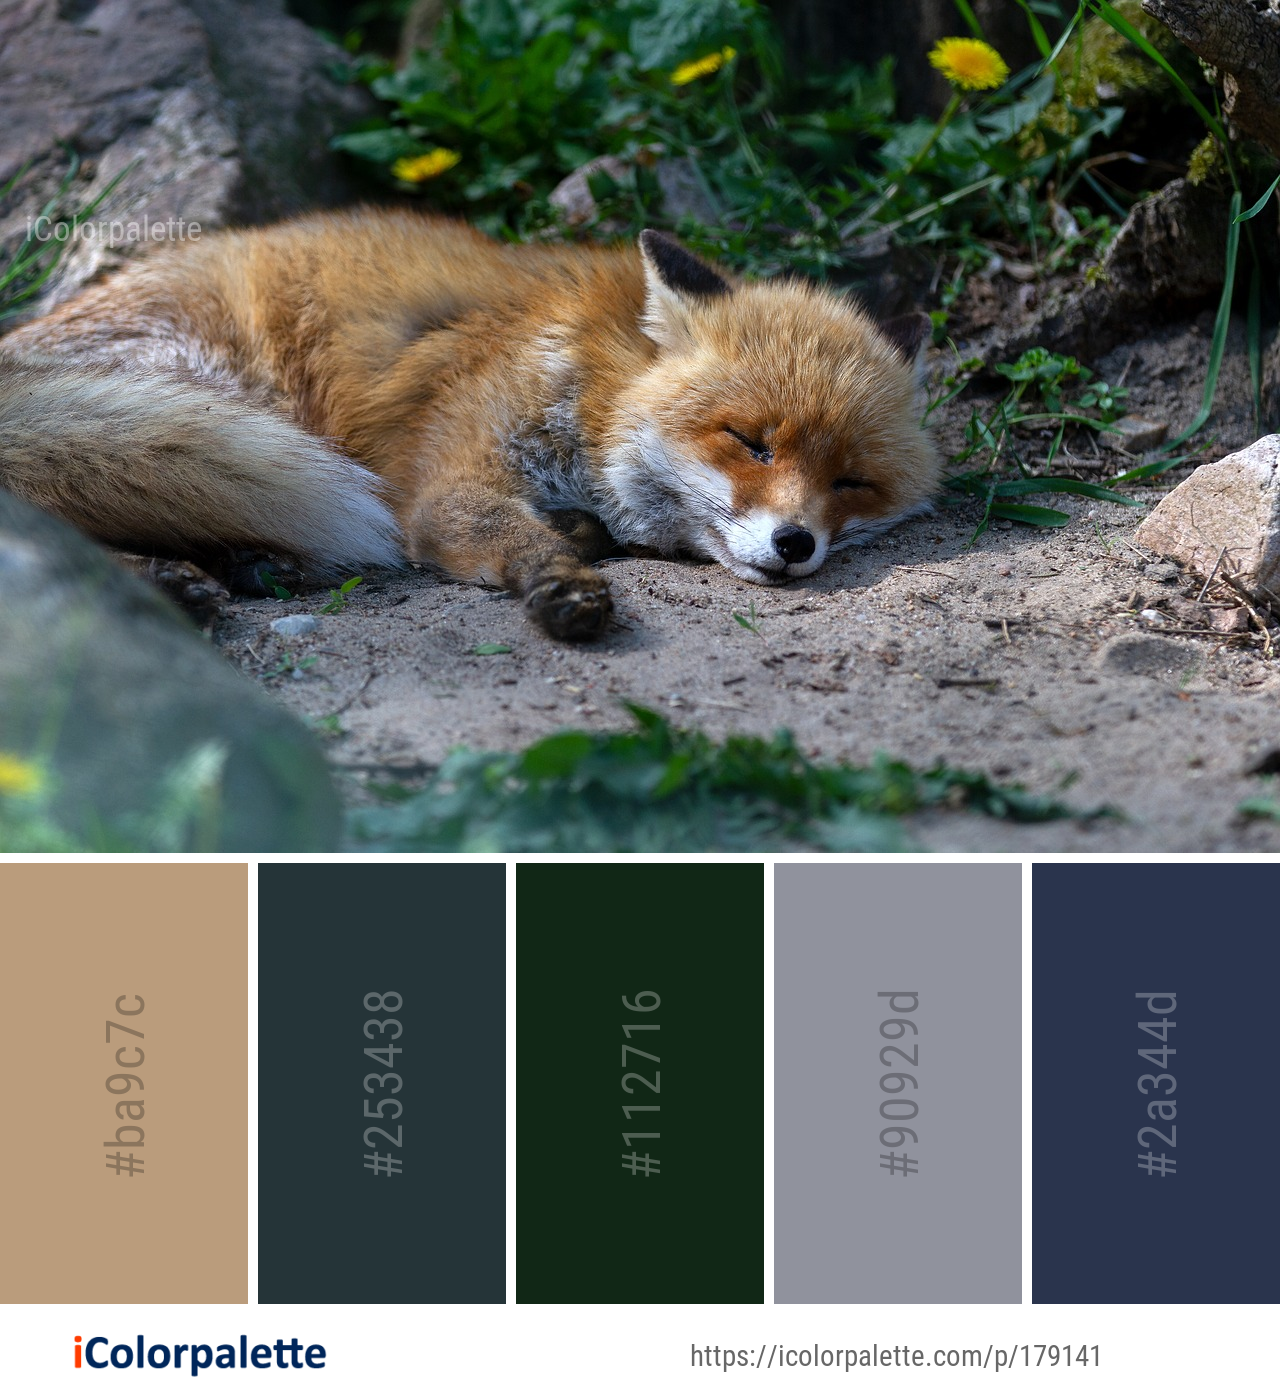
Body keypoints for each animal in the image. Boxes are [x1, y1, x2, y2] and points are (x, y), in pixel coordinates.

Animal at [0, 209, 940, 640]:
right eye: (749, 442)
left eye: (851, 482)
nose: (795, 544)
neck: (590, 376)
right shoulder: (451, 480)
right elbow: (504, 535)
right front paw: (559, 581)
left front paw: (579, 539)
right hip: (216, 397)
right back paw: (167, 582)